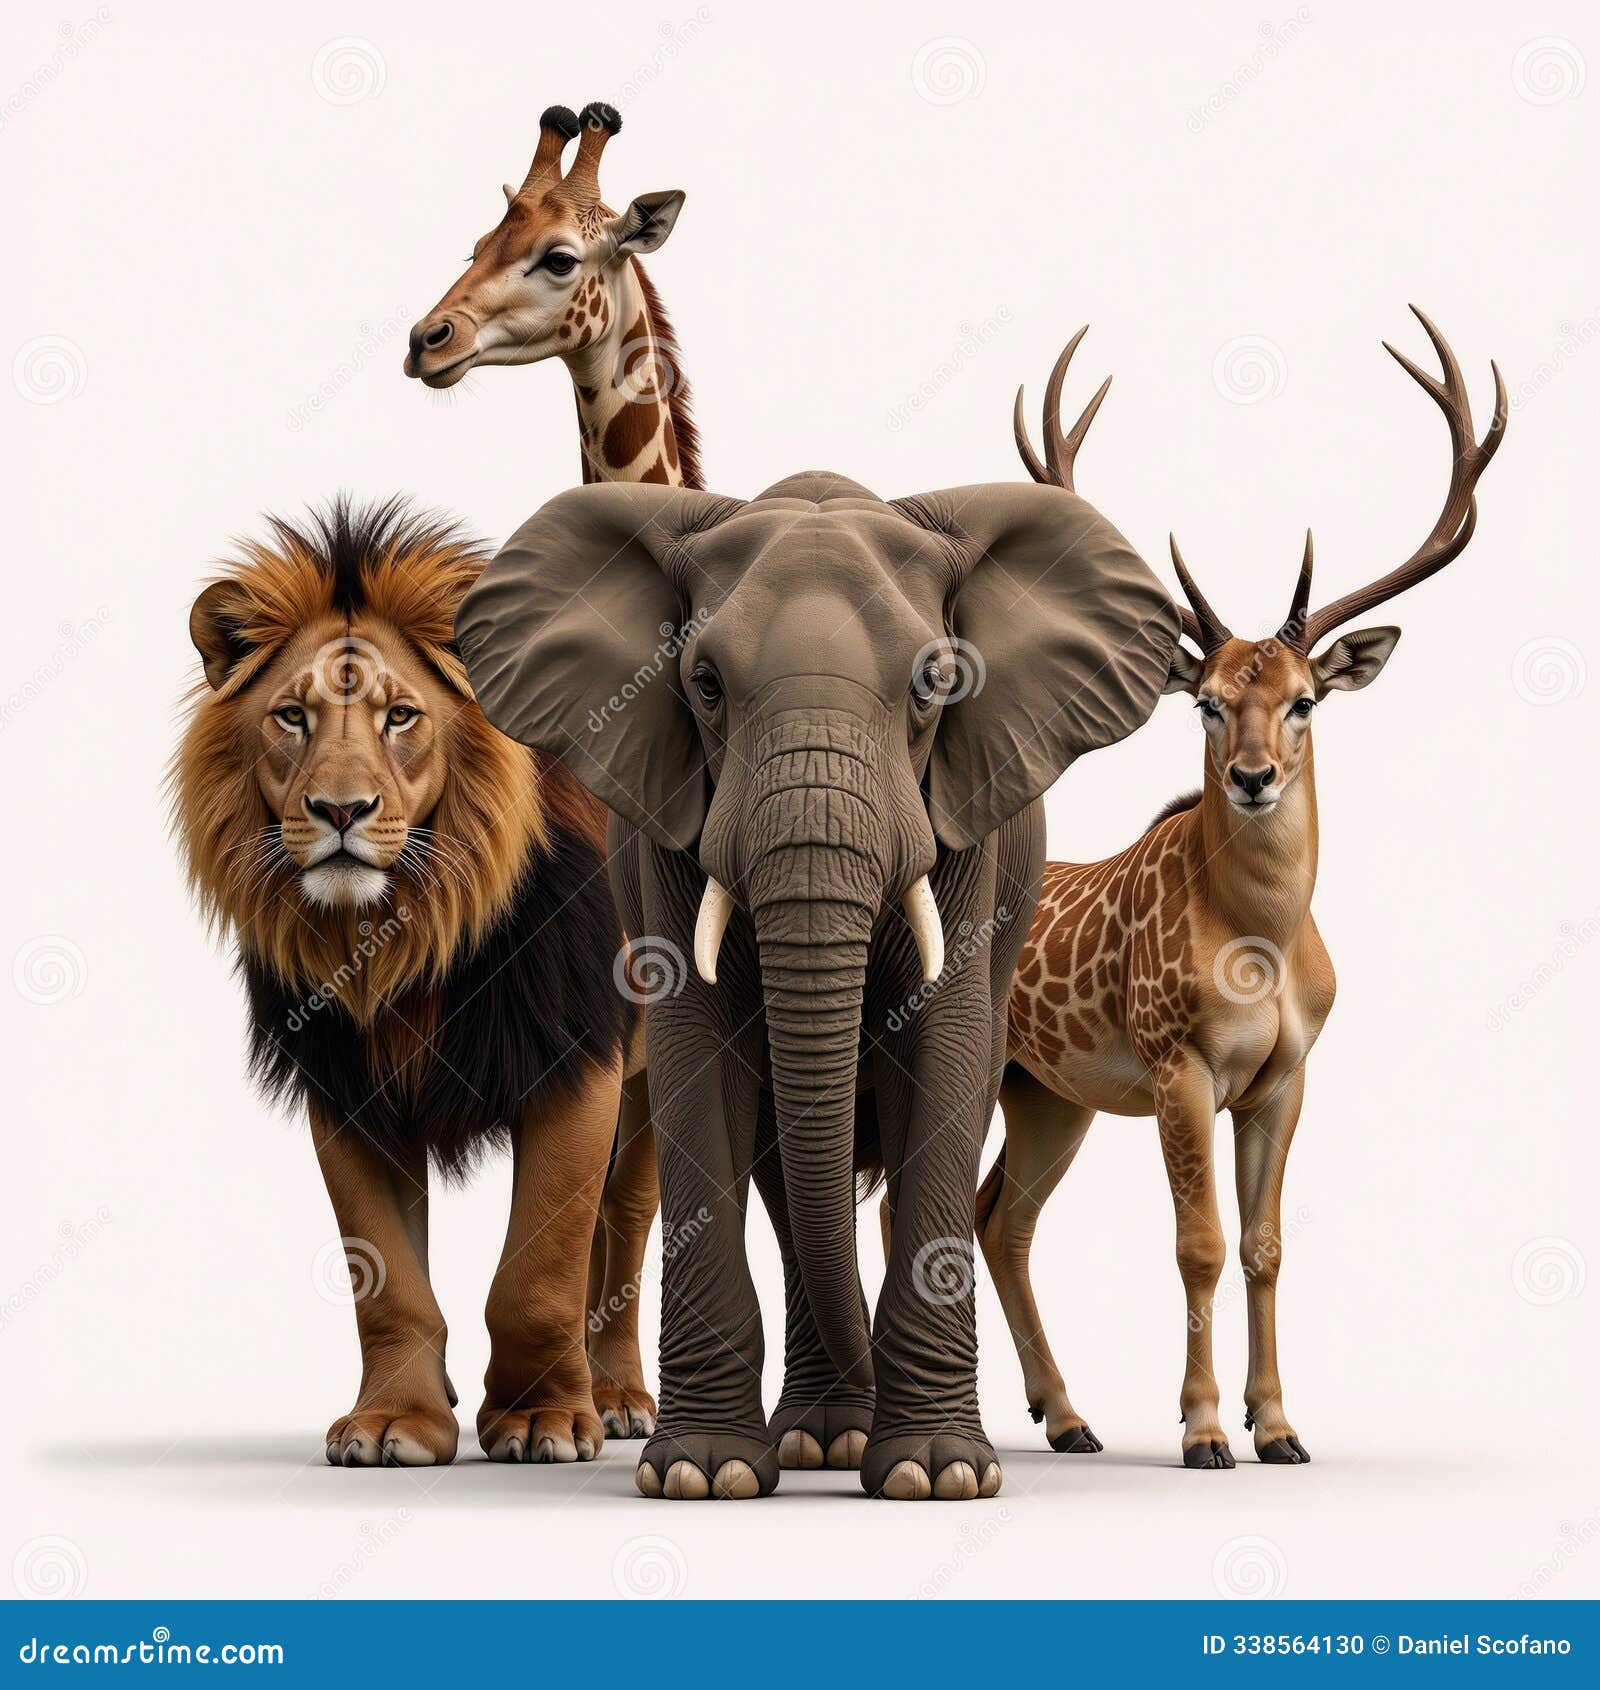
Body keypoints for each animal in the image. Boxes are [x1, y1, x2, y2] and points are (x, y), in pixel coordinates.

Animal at [170, 496, 659, 1465]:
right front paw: (397, 1420)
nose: (340, 810)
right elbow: (388, 1282)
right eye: (291, 717)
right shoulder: (347, 1089)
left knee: (620, 1225)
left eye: (401, 716)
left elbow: (536, 1273)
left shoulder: (577, 1062)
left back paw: (615, 1395)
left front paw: (544, 1420)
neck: (398, 933)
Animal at [456, 471, 1179, 1499]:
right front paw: (704, 1473)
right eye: (704, 685)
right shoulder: (666, 831)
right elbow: (698, 1057)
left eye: (935, 683)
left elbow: (948, 1049)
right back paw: (823, 1440)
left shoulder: (965, 833)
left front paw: (936, 1474)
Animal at [978, 309, 1506, 1468]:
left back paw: (1066, 1414)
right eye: (1208, 702)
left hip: (1047, 1092)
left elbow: (1263, 1245)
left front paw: (1281, 1426)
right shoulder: (1176, 1059)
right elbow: (1200, 1242)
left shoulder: (1287, 1074)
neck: (1260, 944)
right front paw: (1206, 1427)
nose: (1253, 776)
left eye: (1305, 698)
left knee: (999, 1215)